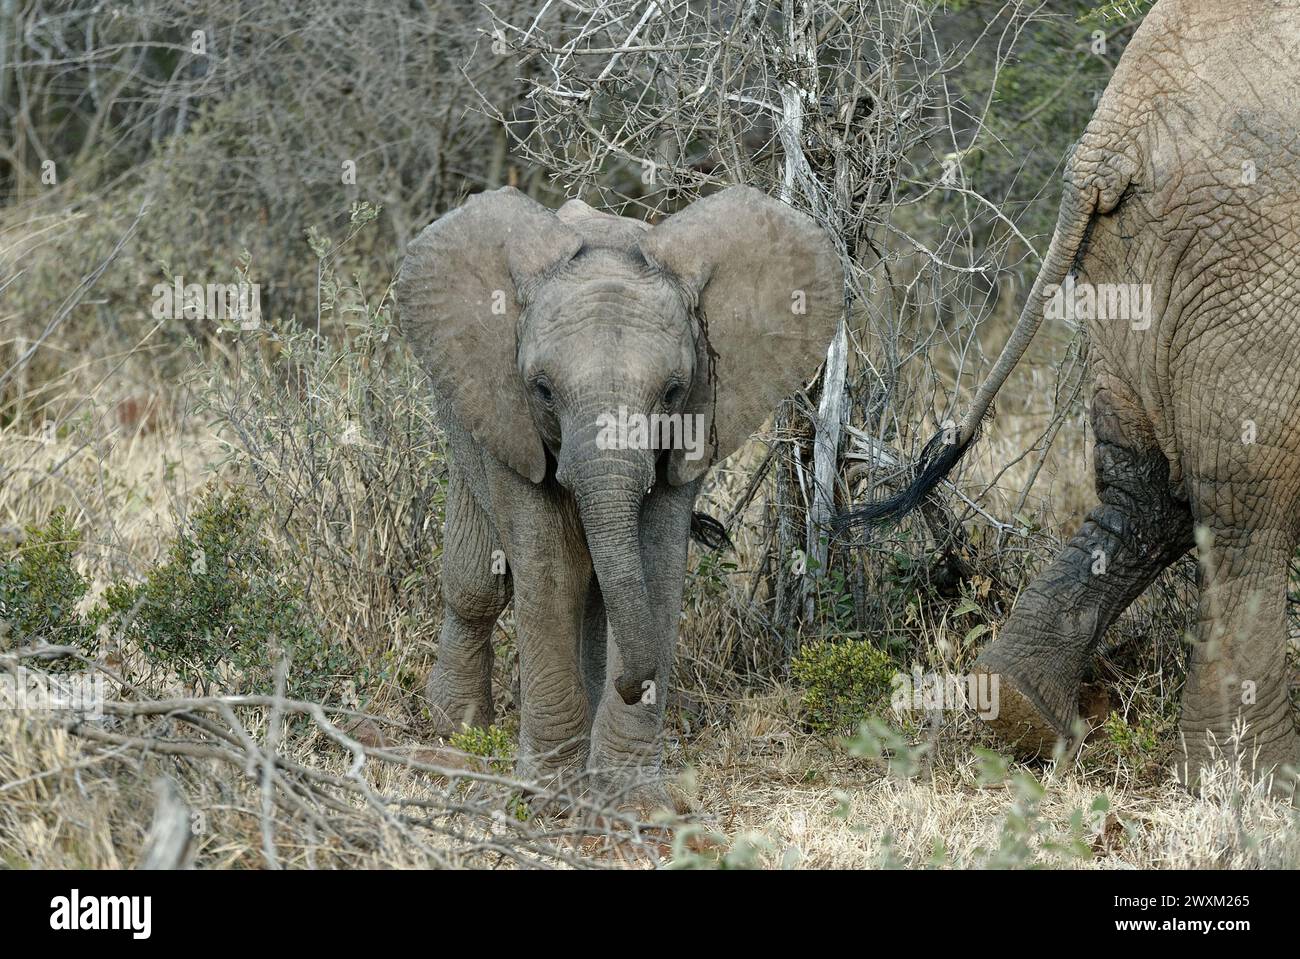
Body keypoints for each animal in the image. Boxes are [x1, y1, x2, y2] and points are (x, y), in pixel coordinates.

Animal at [395, 185, 842, 809]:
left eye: (673, 391)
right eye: (541, 389)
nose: (633, 685)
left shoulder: (693, 426)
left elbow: (652, 566)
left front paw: (630, 798)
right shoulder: (509, 414)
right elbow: (549, 568)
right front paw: (549, 794)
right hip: (463, 413)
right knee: (478, 584)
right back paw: (457, 728)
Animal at [838, 0, 1300, 792]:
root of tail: (1111, 141)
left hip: (1141, 268)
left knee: (1145, 495)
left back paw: (1016, 711)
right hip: (1253, 258)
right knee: (1247, 512)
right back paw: (1248, 779)